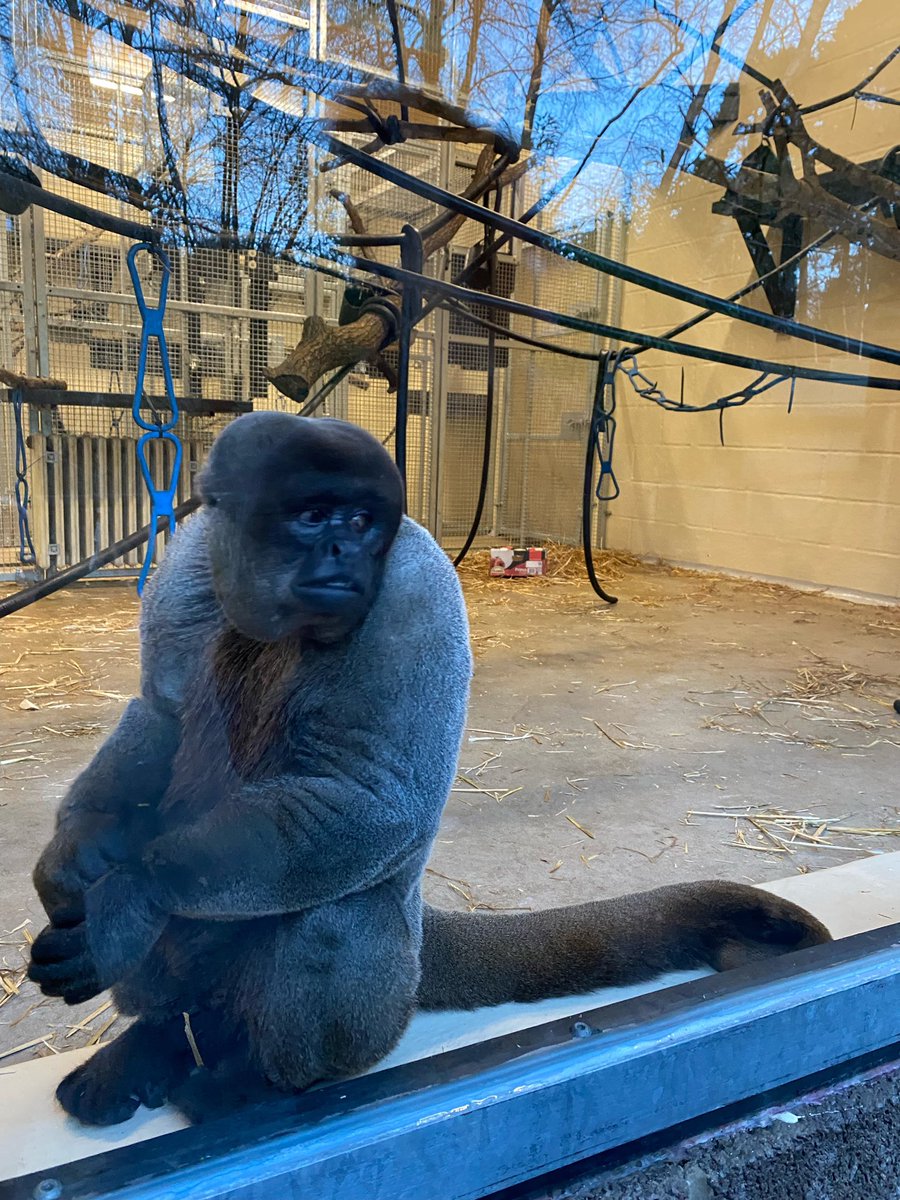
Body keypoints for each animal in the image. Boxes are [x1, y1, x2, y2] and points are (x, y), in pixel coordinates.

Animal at [28, 411, 830, 1127]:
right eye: (313, 516)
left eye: (361, 521)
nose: (343, 553)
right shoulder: (191, 561)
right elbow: (159, 712)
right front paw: (75, 850)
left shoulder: (416, 584)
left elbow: (373, 800)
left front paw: (128, 900)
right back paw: (153, 1040)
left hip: (376, 1001)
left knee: (335, 914)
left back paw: (253, 1088)